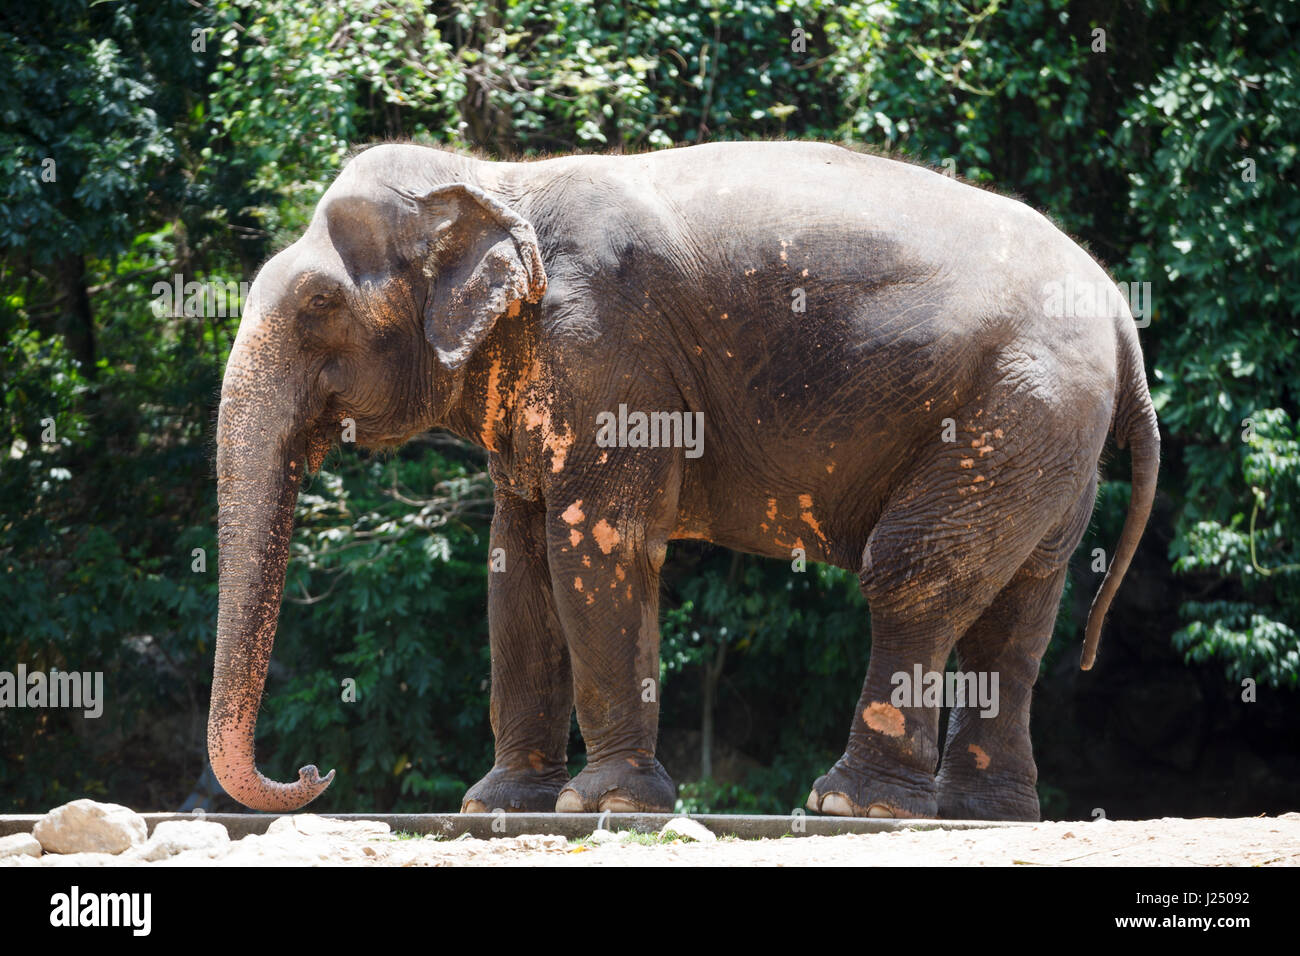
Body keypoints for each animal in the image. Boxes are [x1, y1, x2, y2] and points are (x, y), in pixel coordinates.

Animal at [208, 139, 1158, 821]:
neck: (499, 179)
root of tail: (1120, 313)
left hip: (1017, 406)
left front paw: (605, 804)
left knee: (914, 577)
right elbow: (515, 561)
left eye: (319, 306)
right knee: (1018, 612)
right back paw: (980, 813)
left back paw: (851, 803)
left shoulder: (606, 350)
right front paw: (498, 806)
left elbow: (599, 542)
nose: (313, 771)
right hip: (1050, 435)